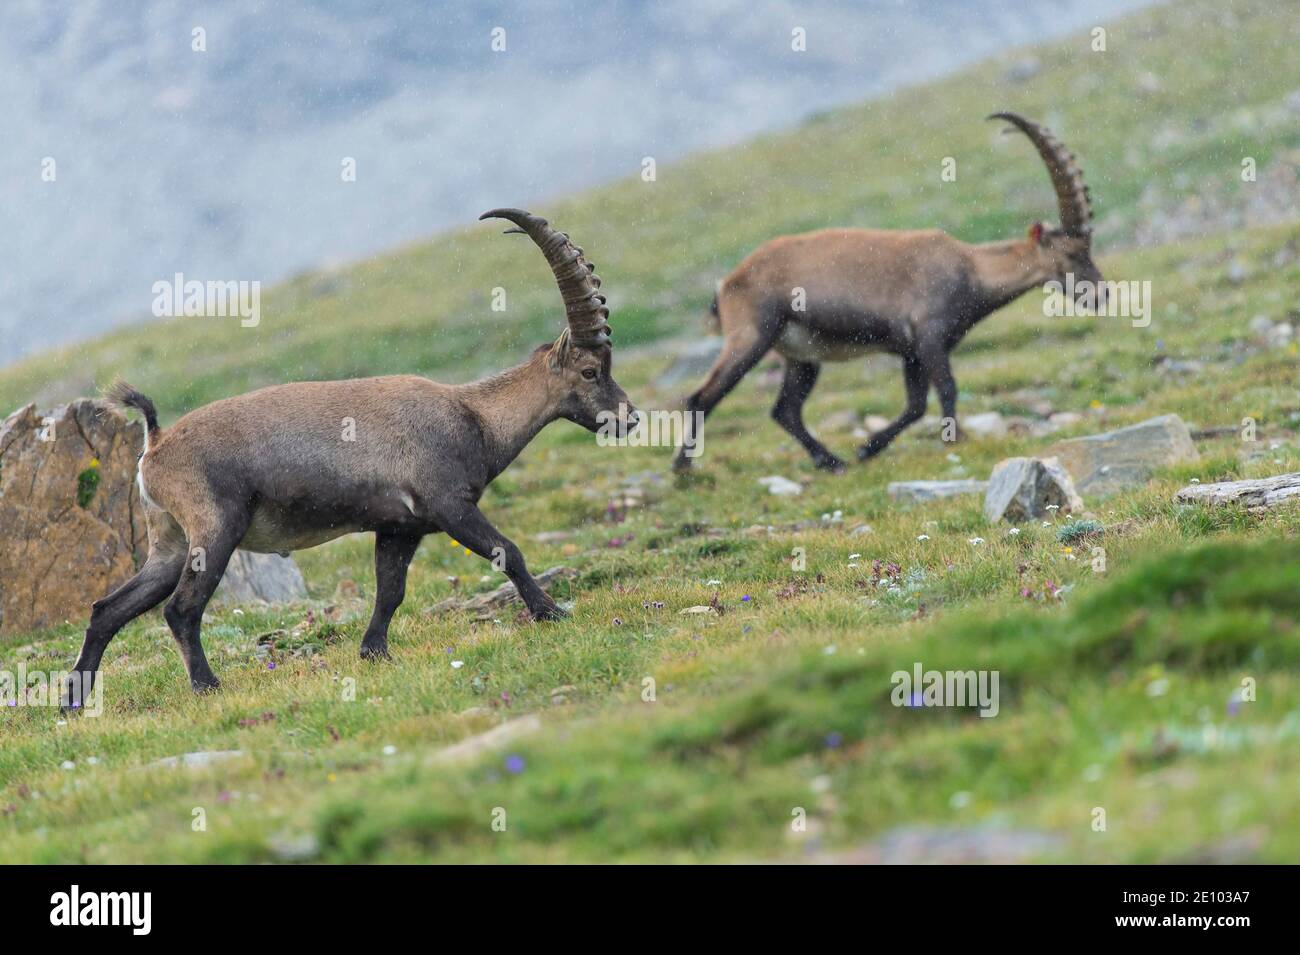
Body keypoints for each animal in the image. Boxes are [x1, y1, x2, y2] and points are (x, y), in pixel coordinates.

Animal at [65, 209, 638, 701]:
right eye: (590, 371)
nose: (628, 418)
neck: (474, 416)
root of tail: (155, 444)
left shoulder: (400, 527)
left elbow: (390, 591)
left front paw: (373, 652)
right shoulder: (449, 506)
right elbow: (508, 552)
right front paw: (552, 614)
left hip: (169, 540)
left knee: (107, 609)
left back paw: (75, 699)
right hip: (215, 528)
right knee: (180, 610)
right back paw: (207, 686)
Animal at [672, 112, 1103, 473]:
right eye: (1071, 253)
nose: (1102, 295)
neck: (971, 269)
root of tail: (728, 282)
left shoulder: (912, 352)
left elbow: (915, 405)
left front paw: (868, 448)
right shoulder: (929, 336)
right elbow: (946, 389)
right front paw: (954, 441)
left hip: (801, 355)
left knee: (785, 410)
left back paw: (831, 461)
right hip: (751, 336)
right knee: (703, 397)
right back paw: (682, 469)